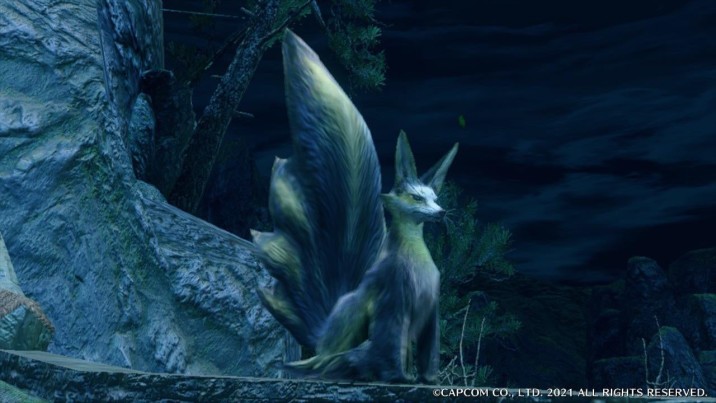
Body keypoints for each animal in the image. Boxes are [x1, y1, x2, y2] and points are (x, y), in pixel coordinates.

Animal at [251, 30, 458, 383]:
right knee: (334, 361)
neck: (417, 260)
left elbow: (429, 353)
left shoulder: (432, 311)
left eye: (435, 197)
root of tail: (320, 337)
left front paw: (428, 382)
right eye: (417, 198)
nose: (441, 213)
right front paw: (401, 379)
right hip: (350, 326)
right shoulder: (394, 305)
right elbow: (392, 349)